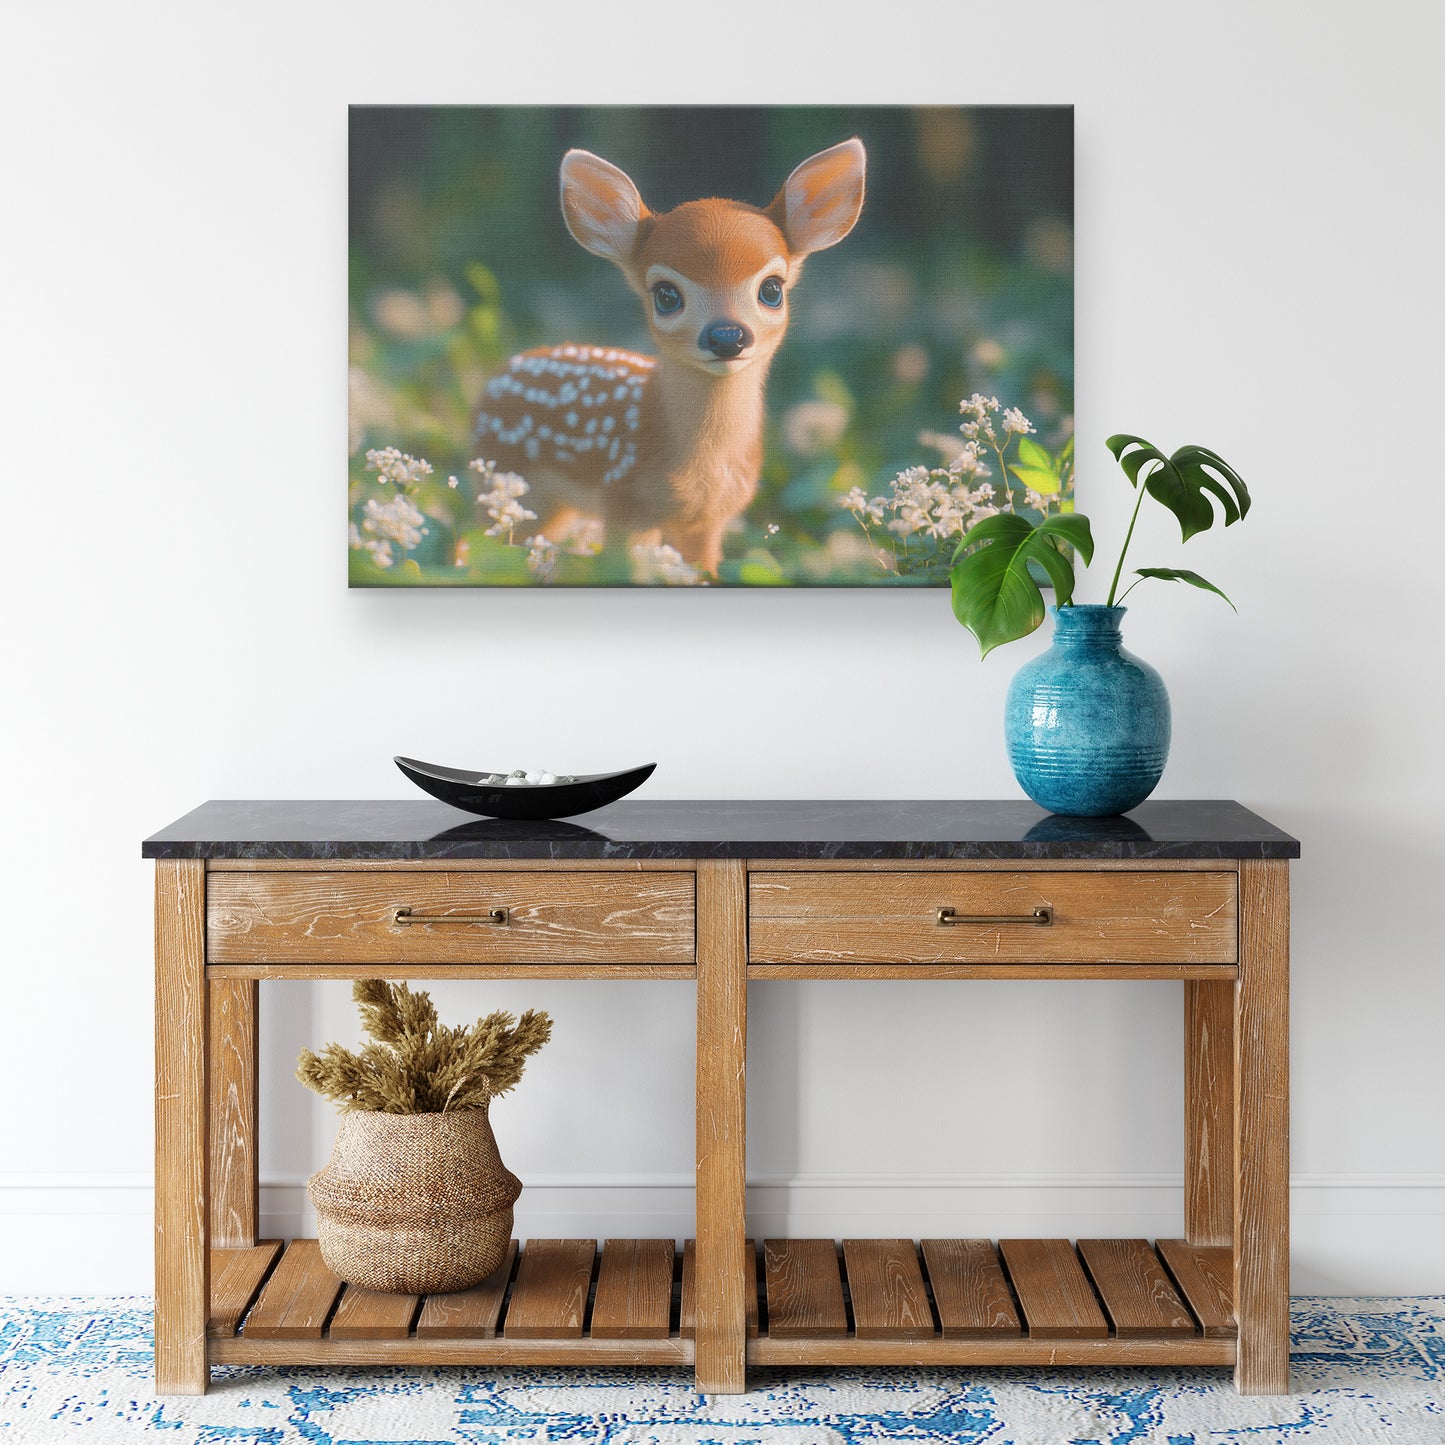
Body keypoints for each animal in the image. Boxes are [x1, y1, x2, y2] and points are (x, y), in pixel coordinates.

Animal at [472, 138, 867, 577]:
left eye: (772, 289)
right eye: (666, 295)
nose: (726, 336)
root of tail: (496, 378)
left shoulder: (709, 521)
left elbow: (705, 570)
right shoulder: (624, 499)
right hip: (505, 477)